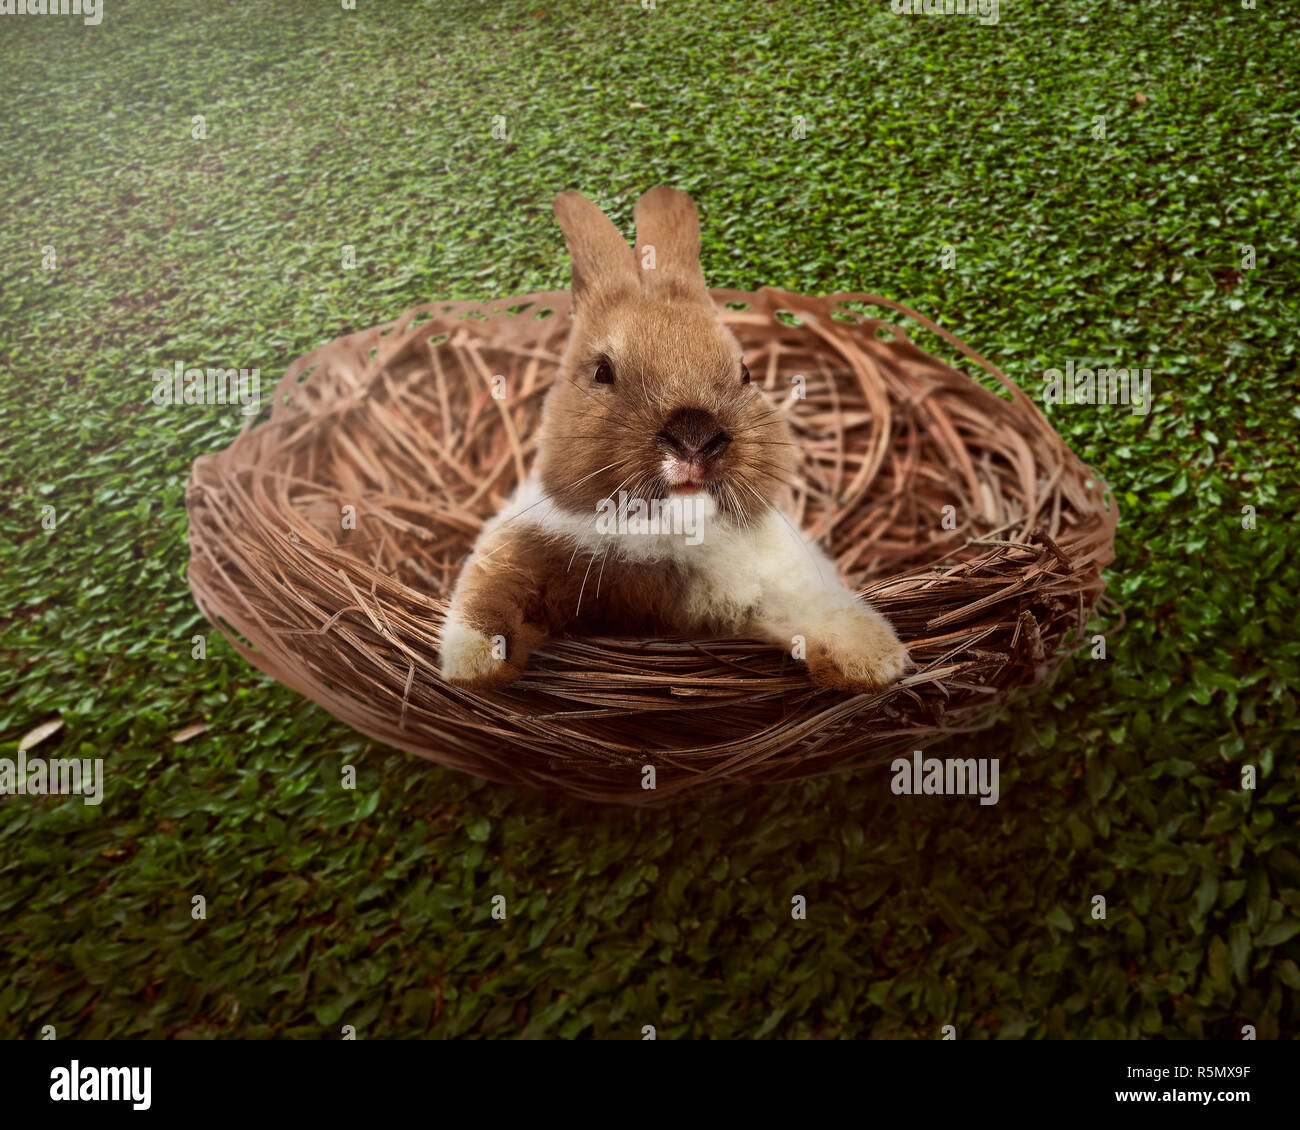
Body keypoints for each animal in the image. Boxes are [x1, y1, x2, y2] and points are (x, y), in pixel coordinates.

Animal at [438, 186, 911, 693]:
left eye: (745, 372)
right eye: (602, 372)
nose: (695, 437)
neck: (667, 534)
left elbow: (818, 610)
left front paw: (874, 662)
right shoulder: (511, 551)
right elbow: (487, 601)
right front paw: (472, 667)